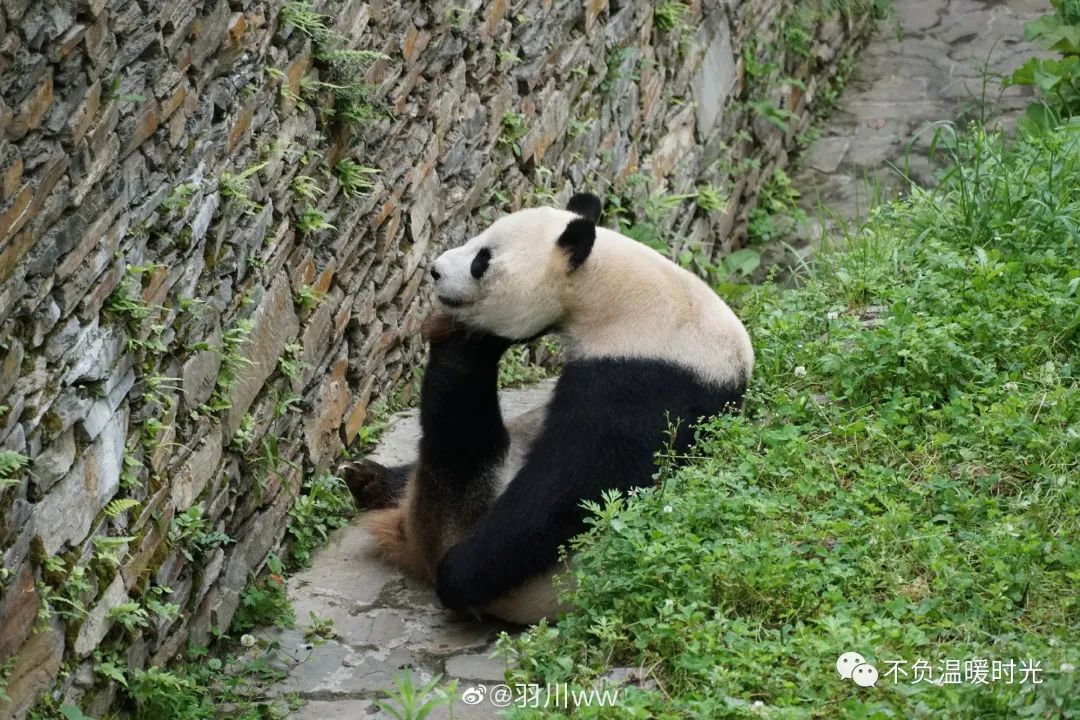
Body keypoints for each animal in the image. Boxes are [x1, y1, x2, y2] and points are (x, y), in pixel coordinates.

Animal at [348, 192, 753, 624]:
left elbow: (575, 485)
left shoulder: (643, 377)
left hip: (467, 517)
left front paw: (459, 576)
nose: (435, 271)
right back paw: (371, 479)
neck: (609, 286)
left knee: (463, 434)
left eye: (482, 259)